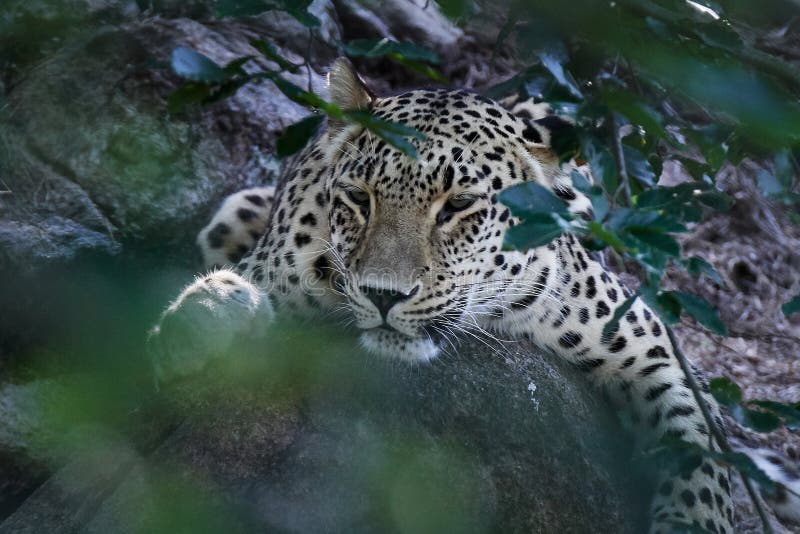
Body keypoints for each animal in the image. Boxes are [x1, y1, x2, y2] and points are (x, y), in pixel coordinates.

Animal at [149, 58, 799, 533]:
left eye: (457, 206)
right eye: (359, 197)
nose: (382, 295)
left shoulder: (649, 340)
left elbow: (699, 457)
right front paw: (200, 320)